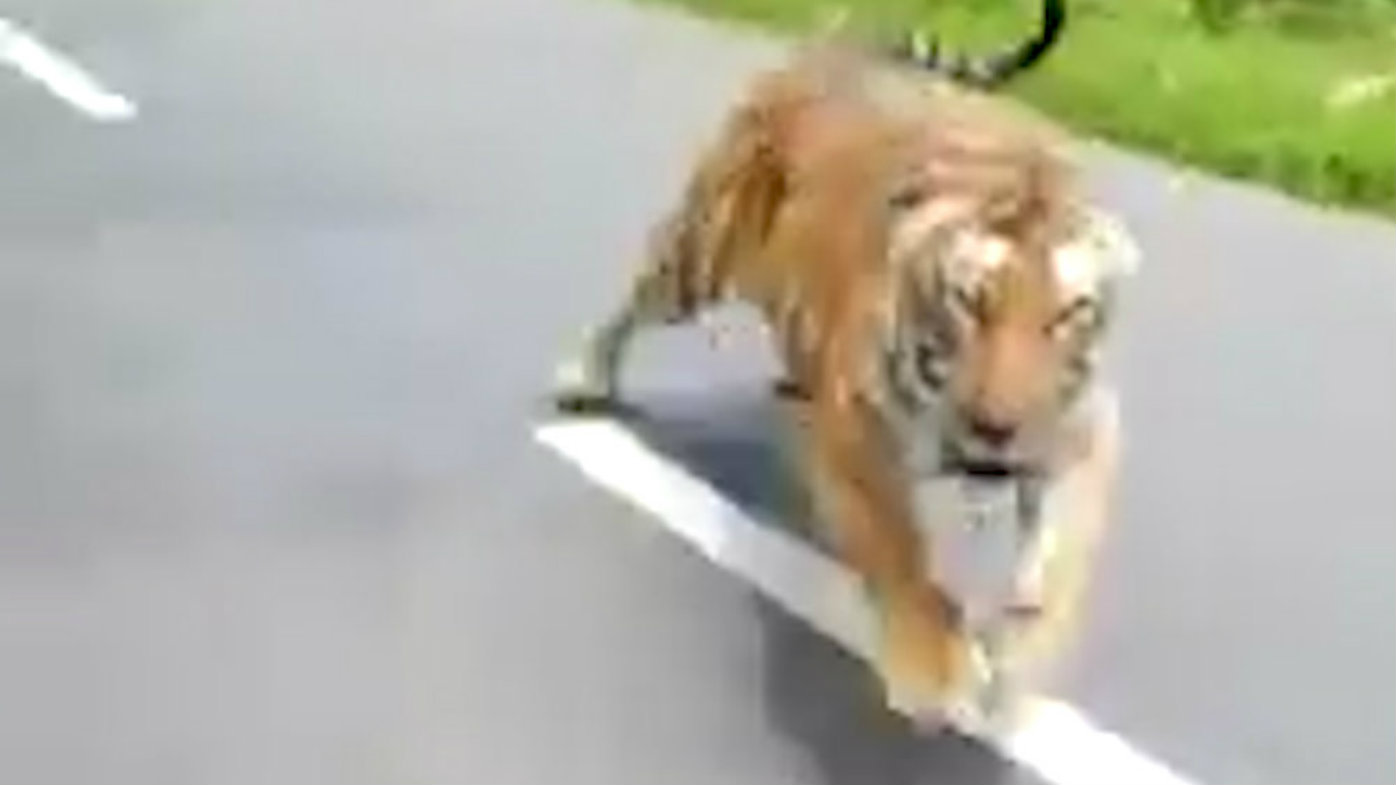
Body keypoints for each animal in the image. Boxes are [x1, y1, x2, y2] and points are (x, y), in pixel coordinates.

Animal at [548, 0, 1140, 731]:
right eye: (971, 303)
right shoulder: (860, 429)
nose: (997, 429)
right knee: (635, 298)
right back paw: (585, 378)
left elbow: (1057, 567)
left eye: (1066, 314)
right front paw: (931, 671)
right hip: (702, 249)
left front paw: (1019, 669)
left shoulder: (1081, 436)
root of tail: (847, 45)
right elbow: (900, 548)